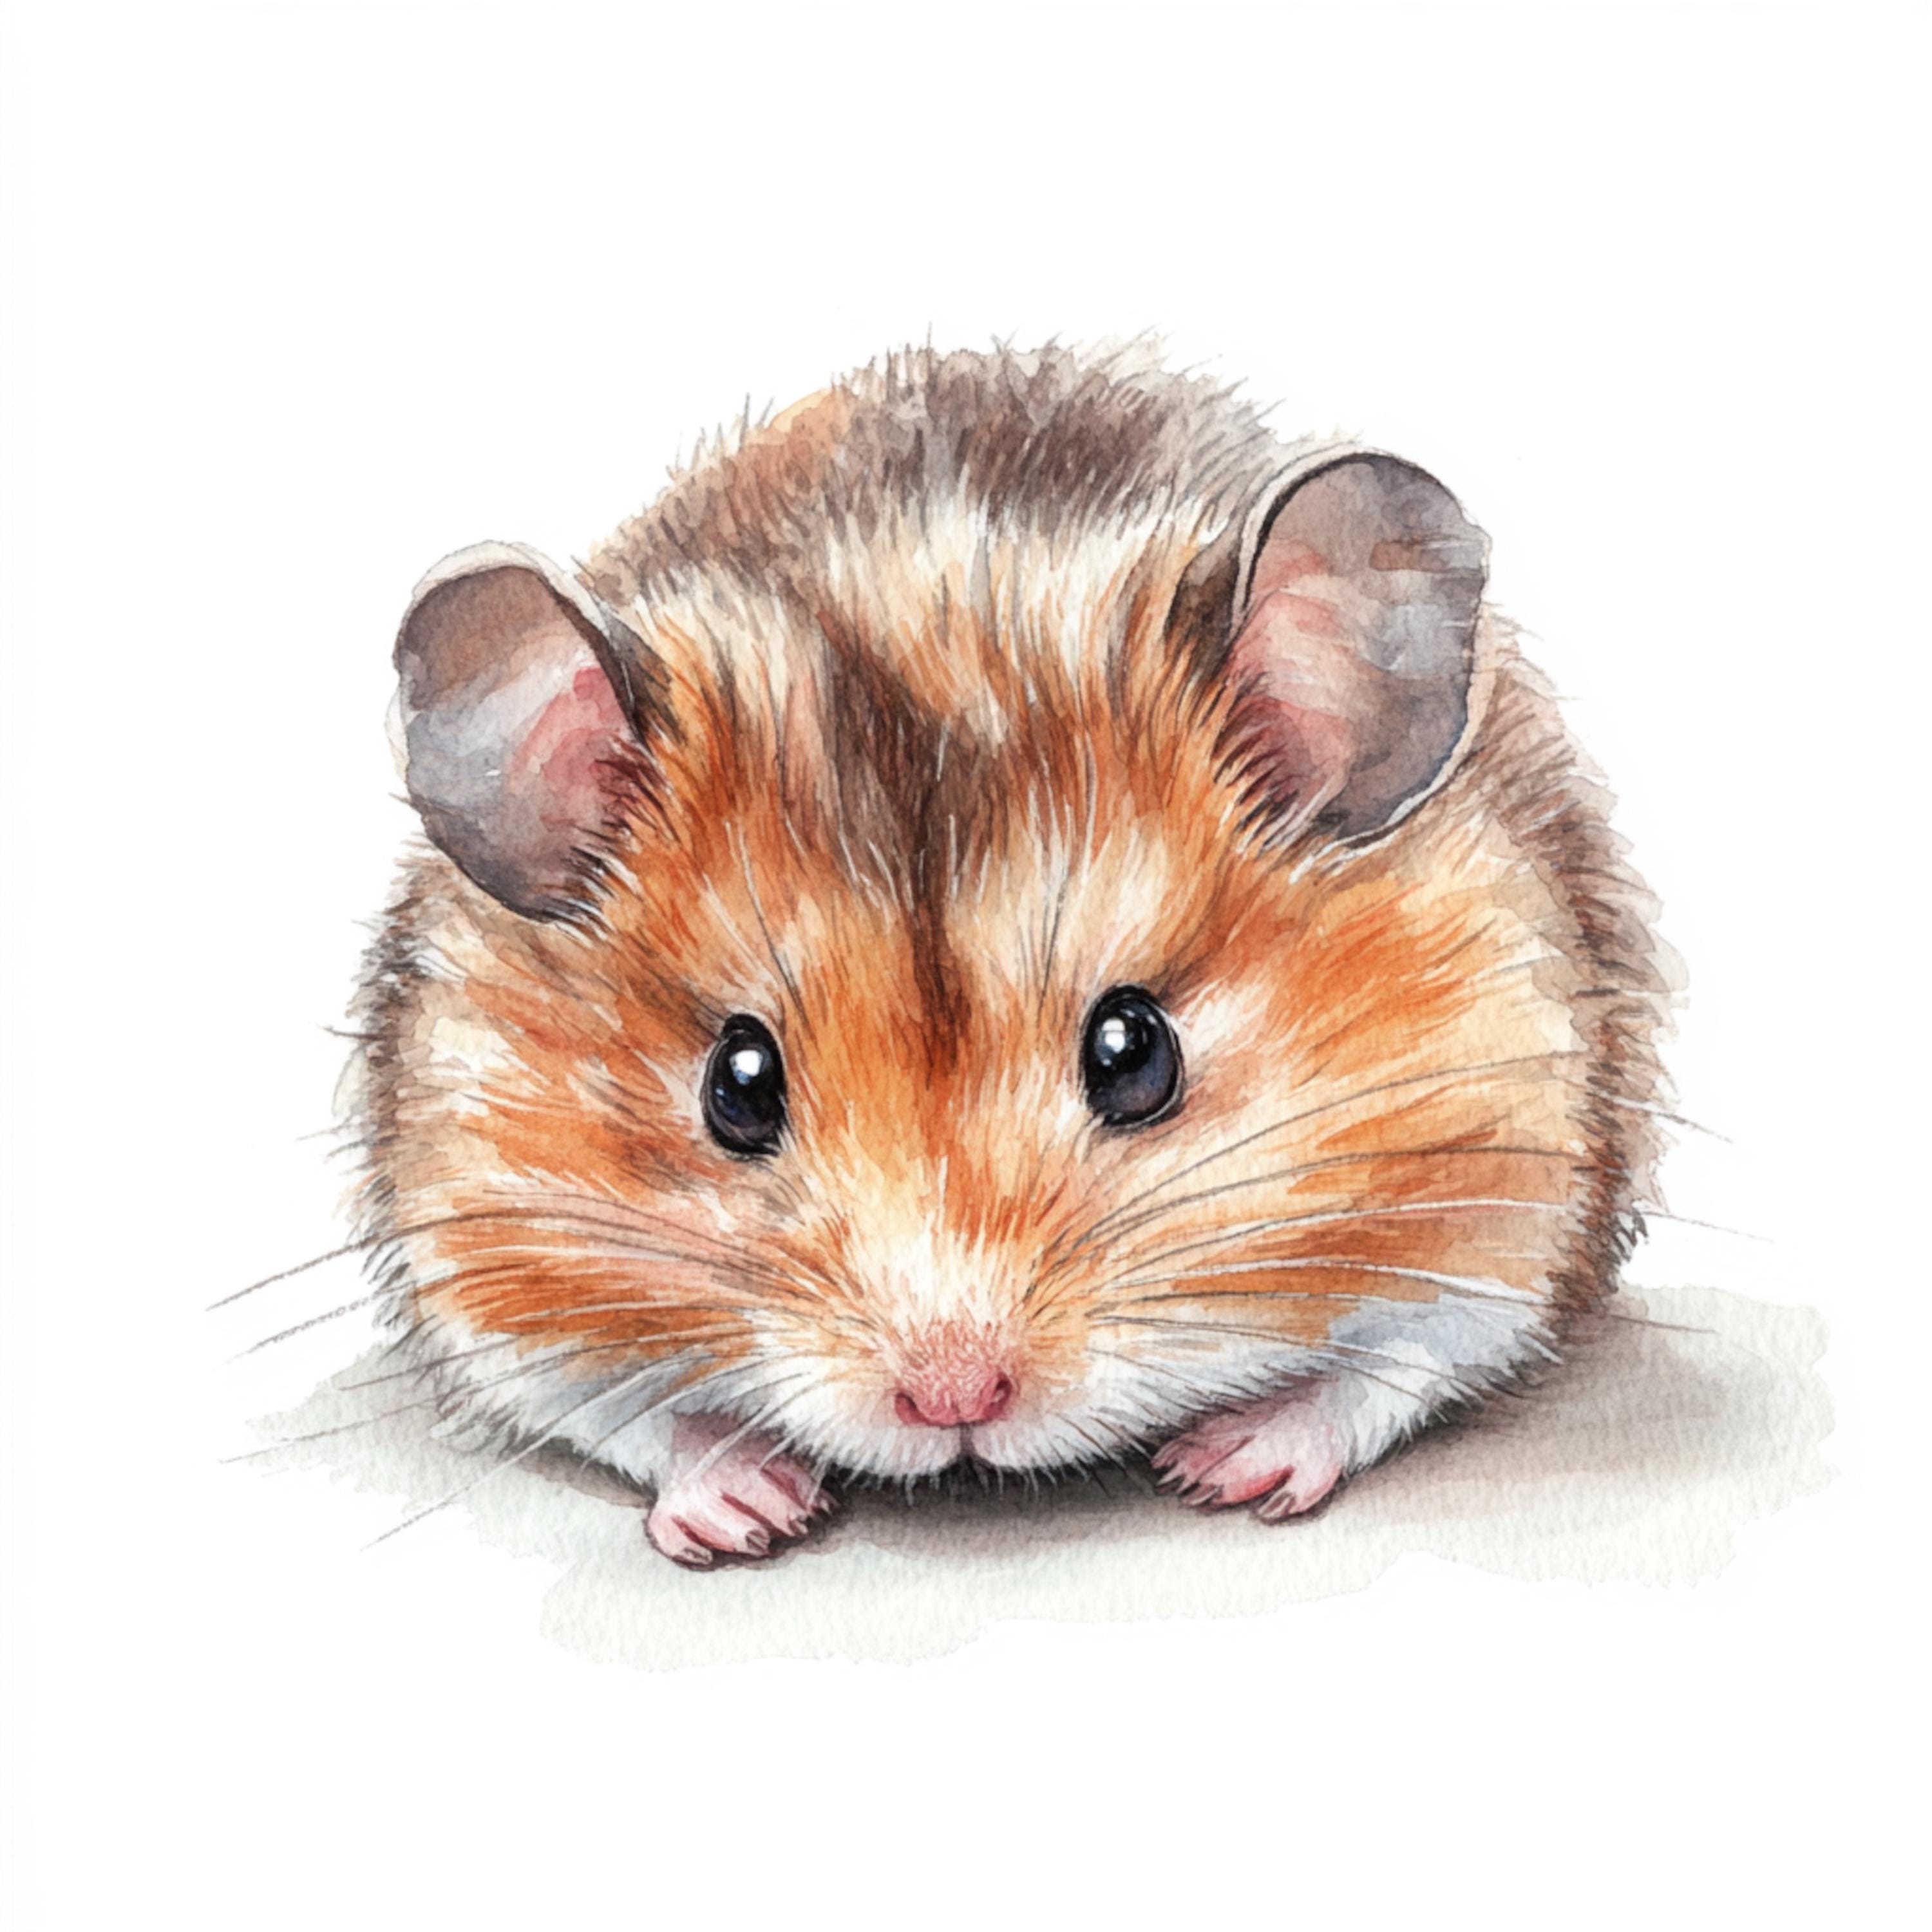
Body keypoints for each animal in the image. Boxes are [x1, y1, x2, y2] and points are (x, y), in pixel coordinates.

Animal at [349, 343, 1666, 1566]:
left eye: (1136, 1054)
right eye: (738, 1086)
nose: (955, 1401)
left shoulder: (1518, 1176)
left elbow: (1389, 1363)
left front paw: (1226, 1467)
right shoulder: (477, 1244)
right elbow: (621, 1410)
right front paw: (744, 1512)